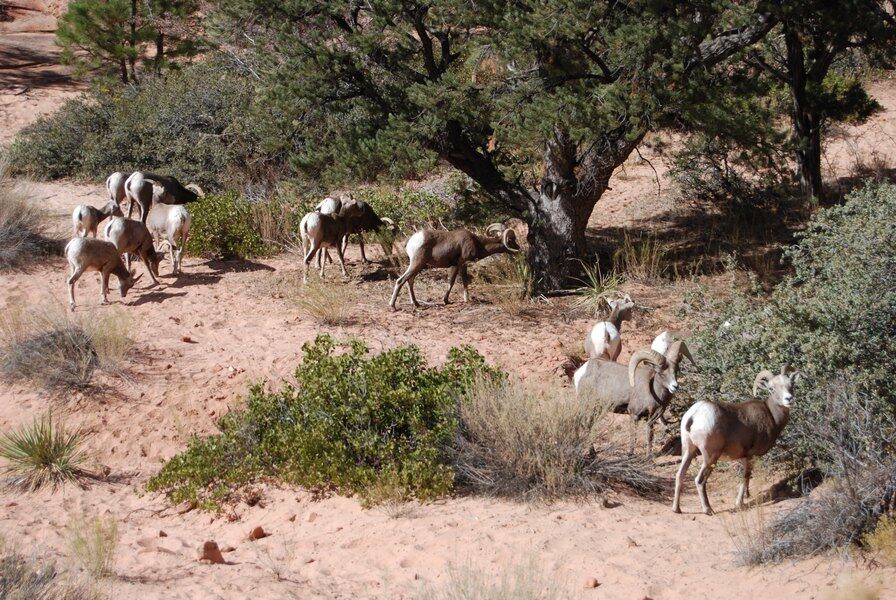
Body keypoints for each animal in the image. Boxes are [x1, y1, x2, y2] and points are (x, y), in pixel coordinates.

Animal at [388, 224, 520, 310]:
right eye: (511, 239)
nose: (519, 249)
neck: (477, 243)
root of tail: (412, 241)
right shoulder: (462, 264)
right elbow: (464, 281)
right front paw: (467, 300)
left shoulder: (455, 266)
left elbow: (451, 282)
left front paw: (446, 300)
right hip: (417, 264)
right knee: (401, 280)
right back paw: (393, 306)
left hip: (418, 266)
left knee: (410, 280)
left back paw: (416, 304)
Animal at [672, 366, 800, 516]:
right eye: (772, 388)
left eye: (791, 385)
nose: (788, 399)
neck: (771, 416)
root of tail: (694, 415)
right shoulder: (750, 456)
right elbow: (745, 477)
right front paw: (740, 503)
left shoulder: (743, 457)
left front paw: (747, 497)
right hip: (710, 457)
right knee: (700, 480)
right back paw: (708, 510)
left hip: (688, 451)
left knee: (679, 475)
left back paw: (677, 509)